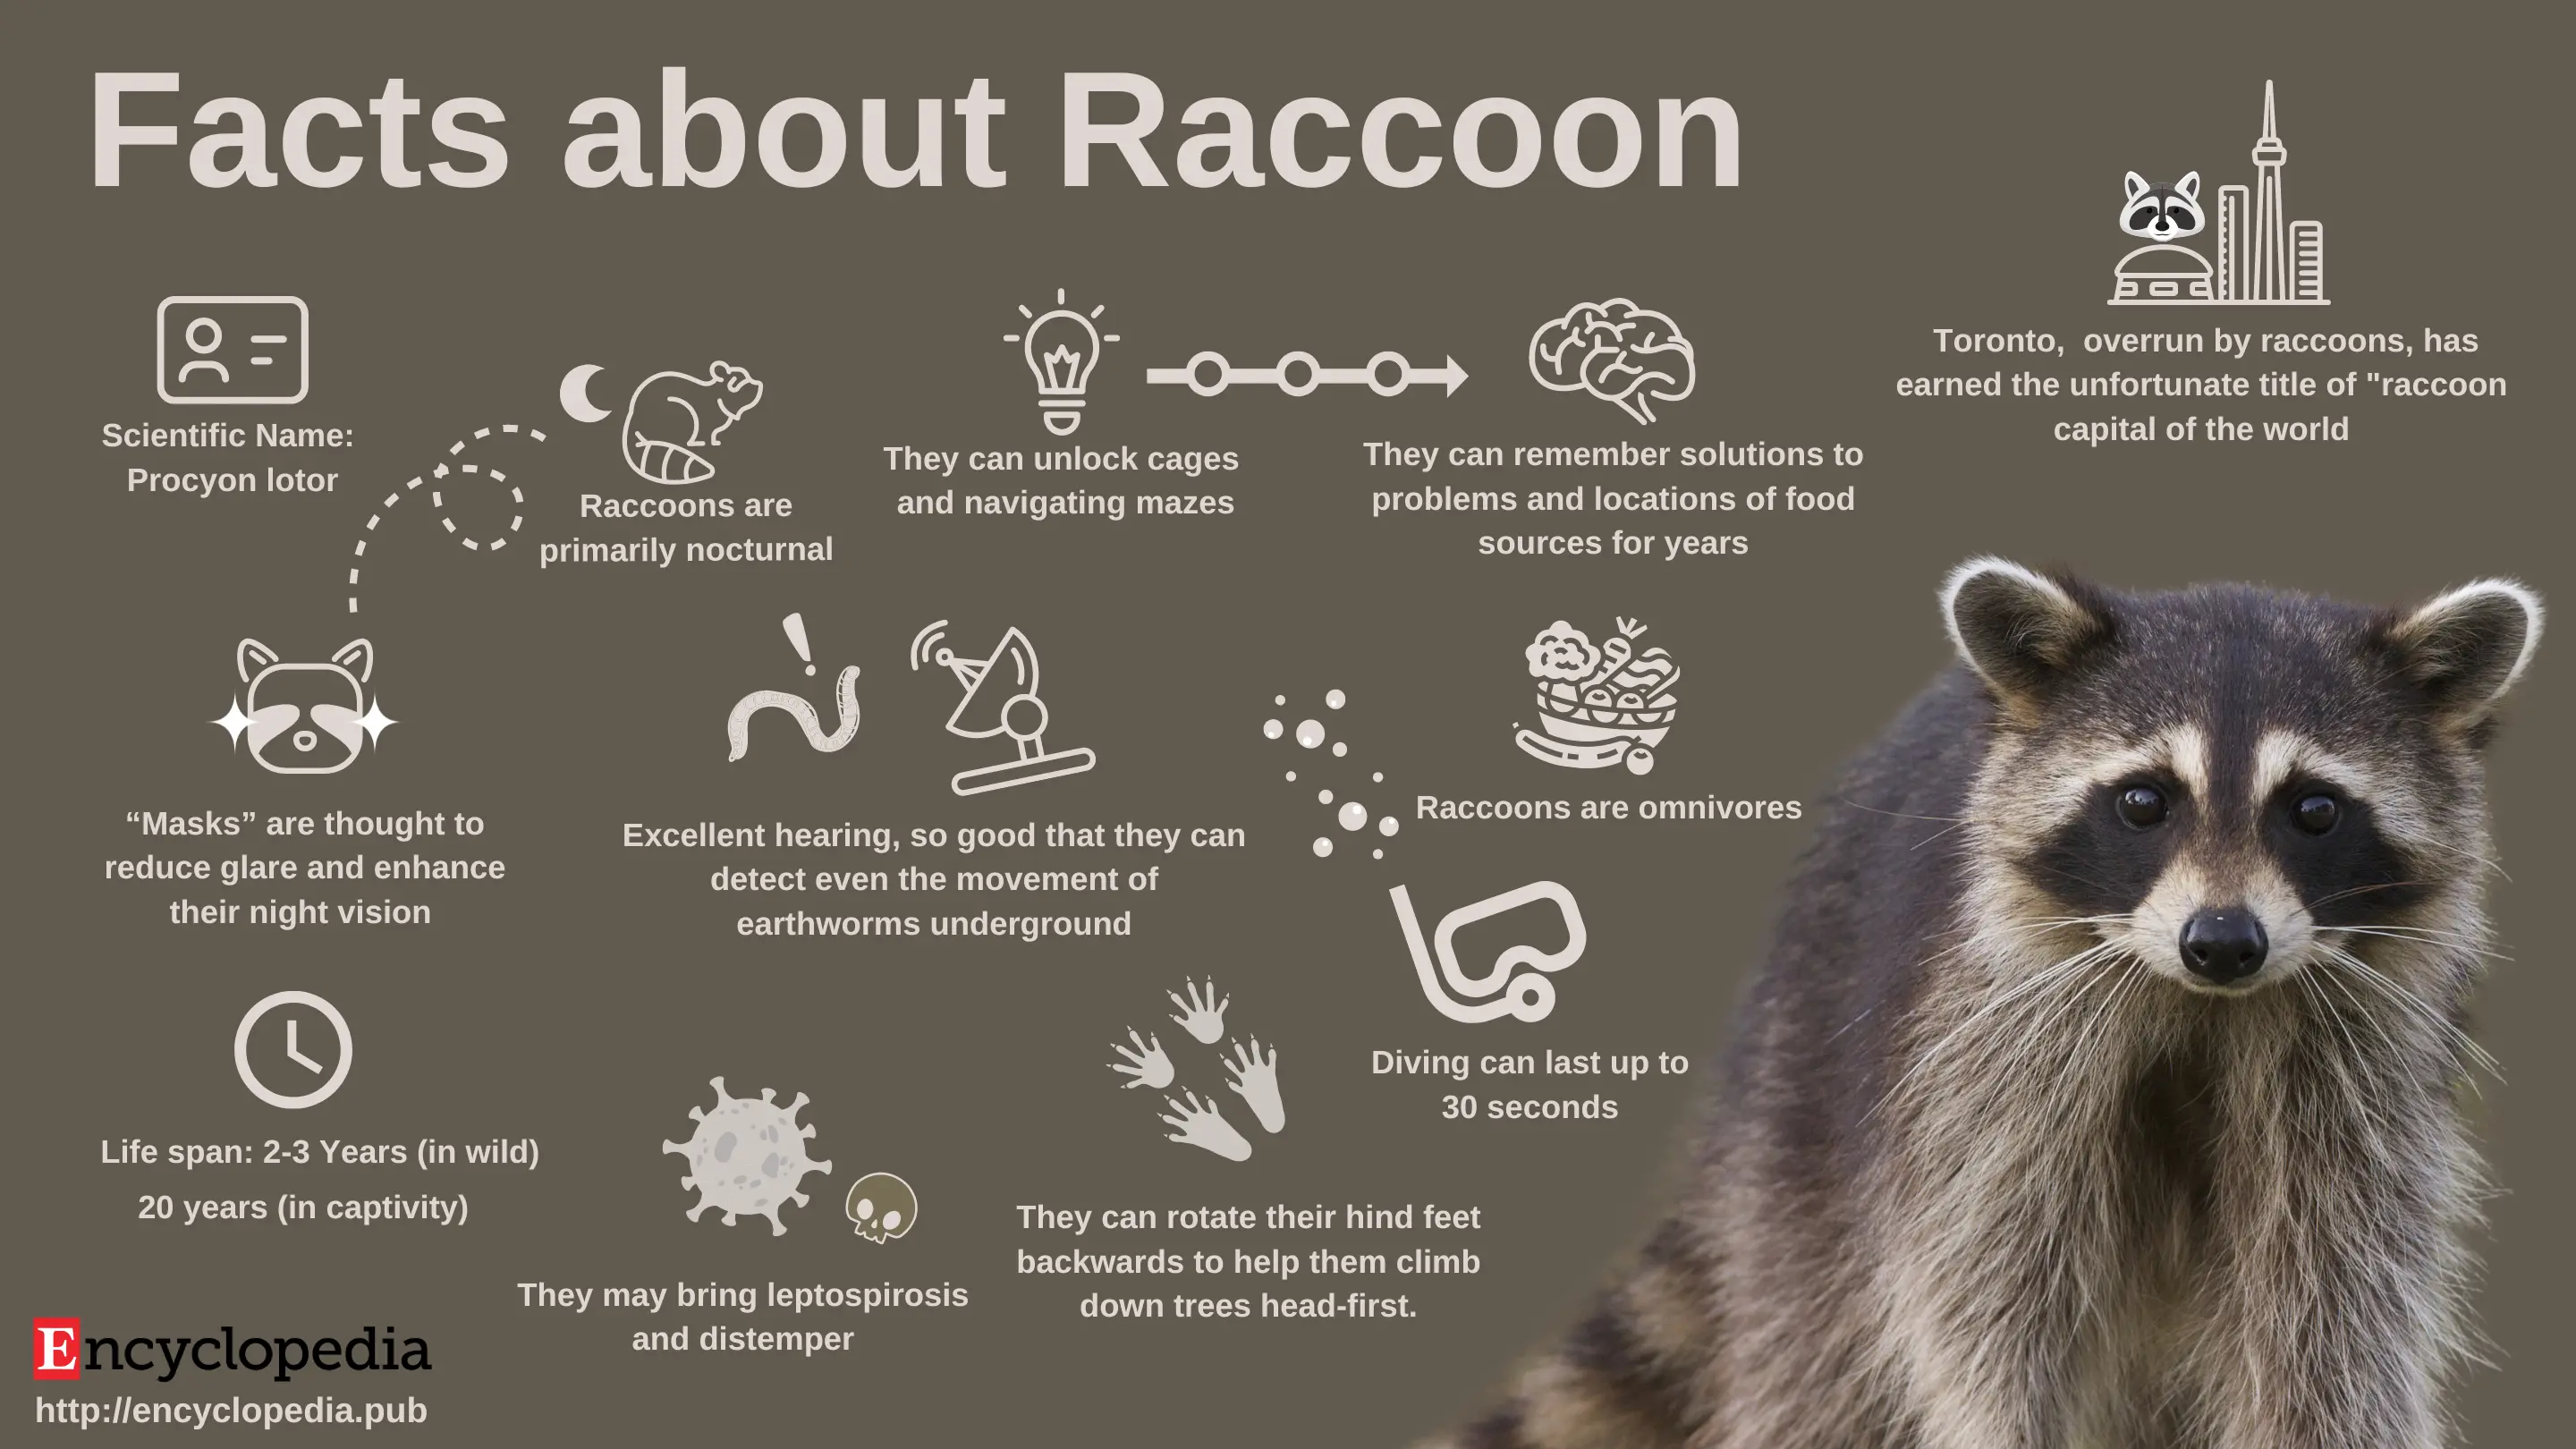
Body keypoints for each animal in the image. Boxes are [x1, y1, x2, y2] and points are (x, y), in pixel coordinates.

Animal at [1442, 561, 2541, 1449]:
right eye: (2144, 802)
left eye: (2314, 810)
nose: (2224, 942)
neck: (2194, 1007)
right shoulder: (1978, 1071)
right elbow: (1987, 1313)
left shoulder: (2360, 1091)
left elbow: (2329, 1328)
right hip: (1806, 1127)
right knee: (1820, 1370)